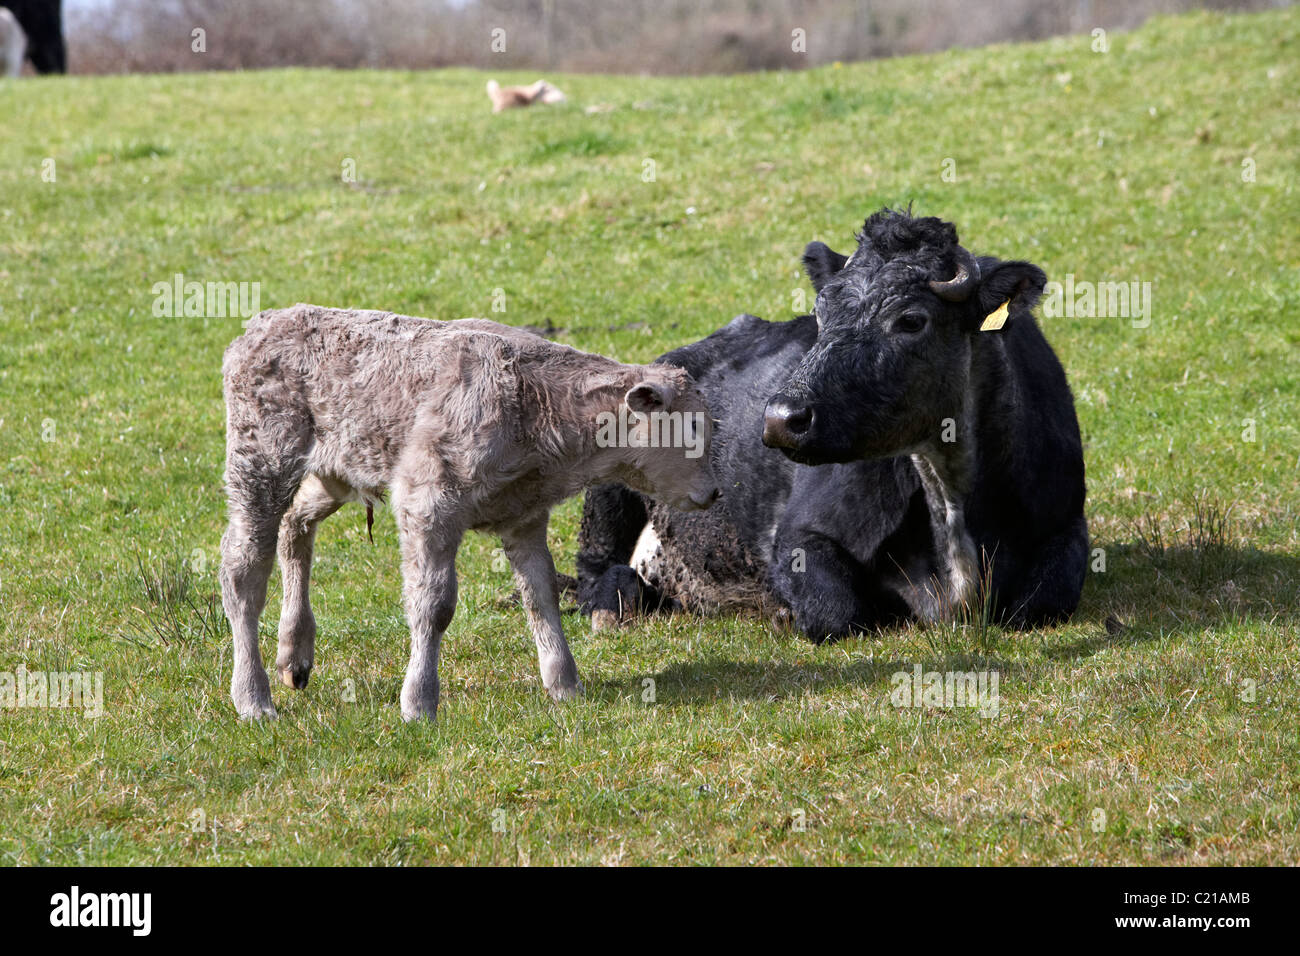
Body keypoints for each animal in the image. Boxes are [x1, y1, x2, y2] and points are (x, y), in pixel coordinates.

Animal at [221, 306, 717, 722]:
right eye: (691, 426)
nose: (713, 492)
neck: (538, 405)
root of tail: (263, 323)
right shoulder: (427, 503)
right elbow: (434, 606)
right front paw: (419, 701)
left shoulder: (525, 517)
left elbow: (540, 595)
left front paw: (564, 683)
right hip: (260, 460)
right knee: (242, 571)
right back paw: (253, 698)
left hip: (334, 470)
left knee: (295, 525)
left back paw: (294, 653)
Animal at [578, 207, 1088, 641]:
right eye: (821, 315)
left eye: (911, 320)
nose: (781, 418)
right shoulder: (799, 534)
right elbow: (839, 614)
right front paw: (784, 612)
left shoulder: (1066, 524)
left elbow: (1042, 603)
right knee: (593, 568)